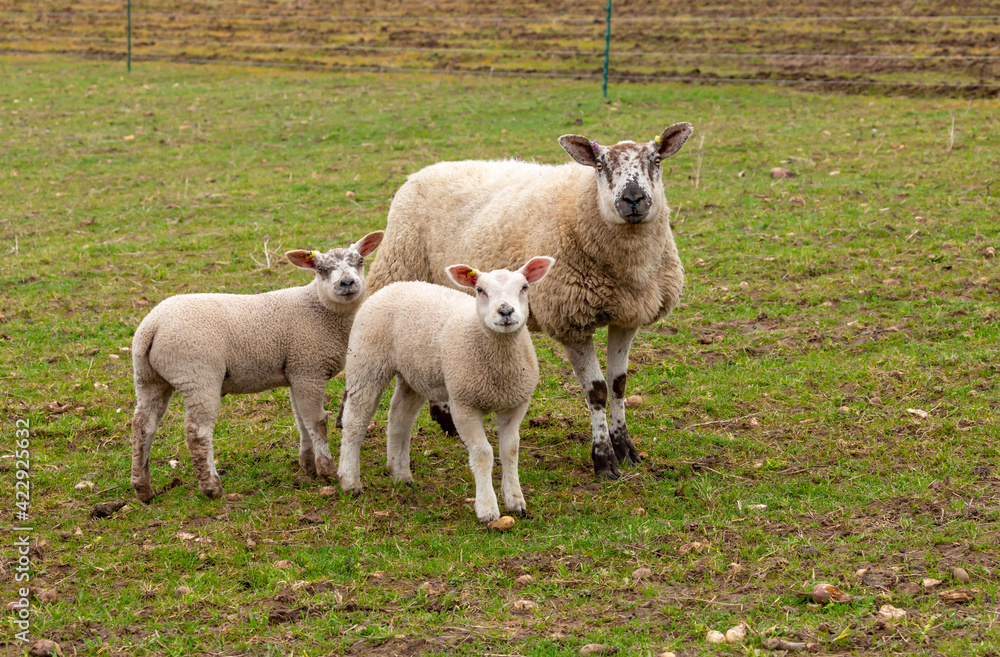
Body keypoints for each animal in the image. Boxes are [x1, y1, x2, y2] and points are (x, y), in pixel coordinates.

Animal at [129, 231, 383, 502]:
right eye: (321, 269)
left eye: (360, 261)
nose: (347, 283)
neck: (319, 309)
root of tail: (152, 325)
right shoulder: (309, 370)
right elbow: (316, 422)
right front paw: (327, 470)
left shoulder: (296, 372)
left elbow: (301, 420)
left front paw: (308, 466)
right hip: (198, 375)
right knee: (197, 432)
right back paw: (212, 488)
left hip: (148, 377)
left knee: (143, 425)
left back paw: (143, 488)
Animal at [337, 256, 555, 523]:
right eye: (480, 290)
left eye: (524, 287)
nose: (505, 312)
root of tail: (395, 285)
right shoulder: (463, 404)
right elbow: (483, 453)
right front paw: (487, 509)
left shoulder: (516, 403)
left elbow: (510, 450)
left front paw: (515, 500)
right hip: (367, 361)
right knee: (355, 422)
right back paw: (350, 481)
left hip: (415, 373)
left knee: (399, 418)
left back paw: (400, 474)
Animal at [363, 123, 693, 480]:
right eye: (600, 165)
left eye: (656, 161)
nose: (634, 199)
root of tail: (424, 170)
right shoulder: (570, 321)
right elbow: (597, 391)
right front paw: (604, 459)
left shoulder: (626, 316)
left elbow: (618, 386)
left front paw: (626, 449)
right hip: (398, 269)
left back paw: (446, 419)